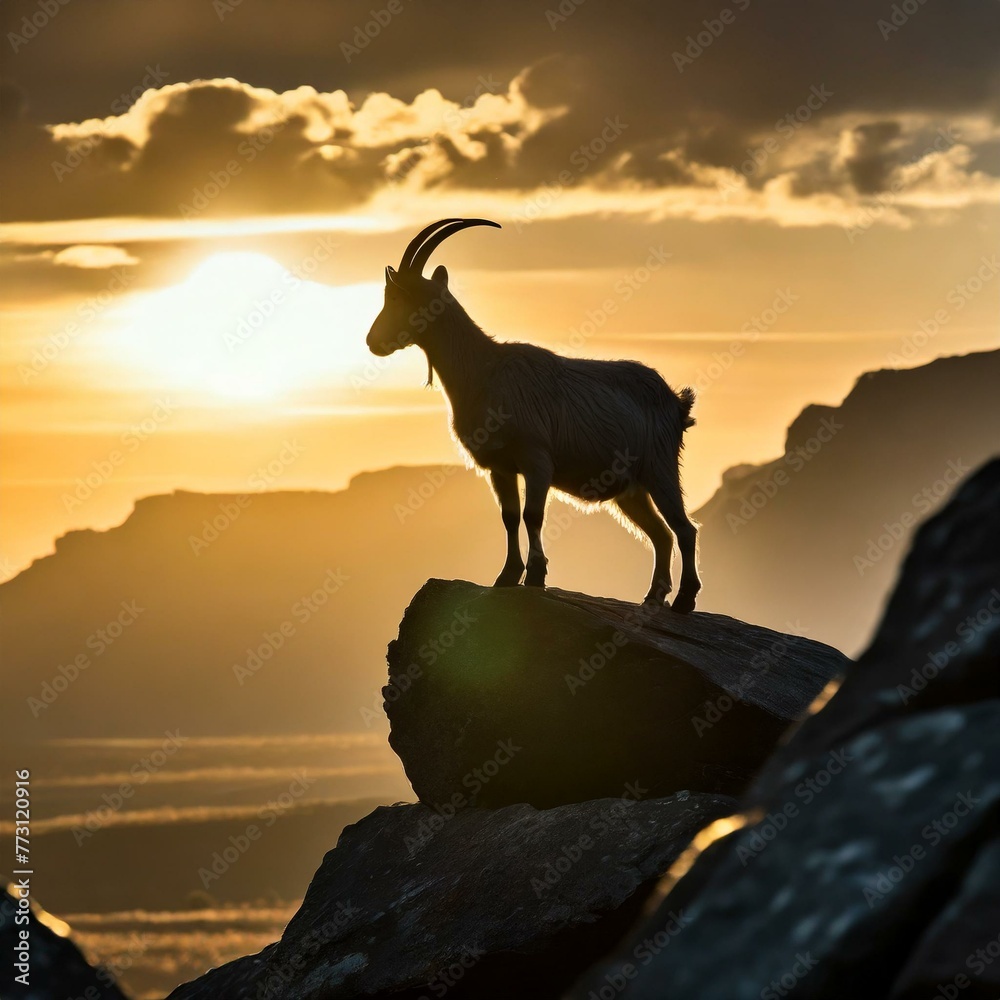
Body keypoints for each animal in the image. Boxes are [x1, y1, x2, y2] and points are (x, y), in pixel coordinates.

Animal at [366, 218, 702, 612]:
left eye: (399, 297)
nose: (372, 342)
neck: (483, 370)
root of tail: (676, 403)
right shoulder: (500, 466)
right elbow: (510, 517)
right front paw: (507, 576)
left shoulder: (536, 458)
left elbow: (532, 515)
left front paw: (536, 576)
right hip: (632, 488)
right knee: (661, 534)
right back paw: (653, 597)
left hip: (659, 467)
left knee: (684, 528)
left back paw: (684, 599)